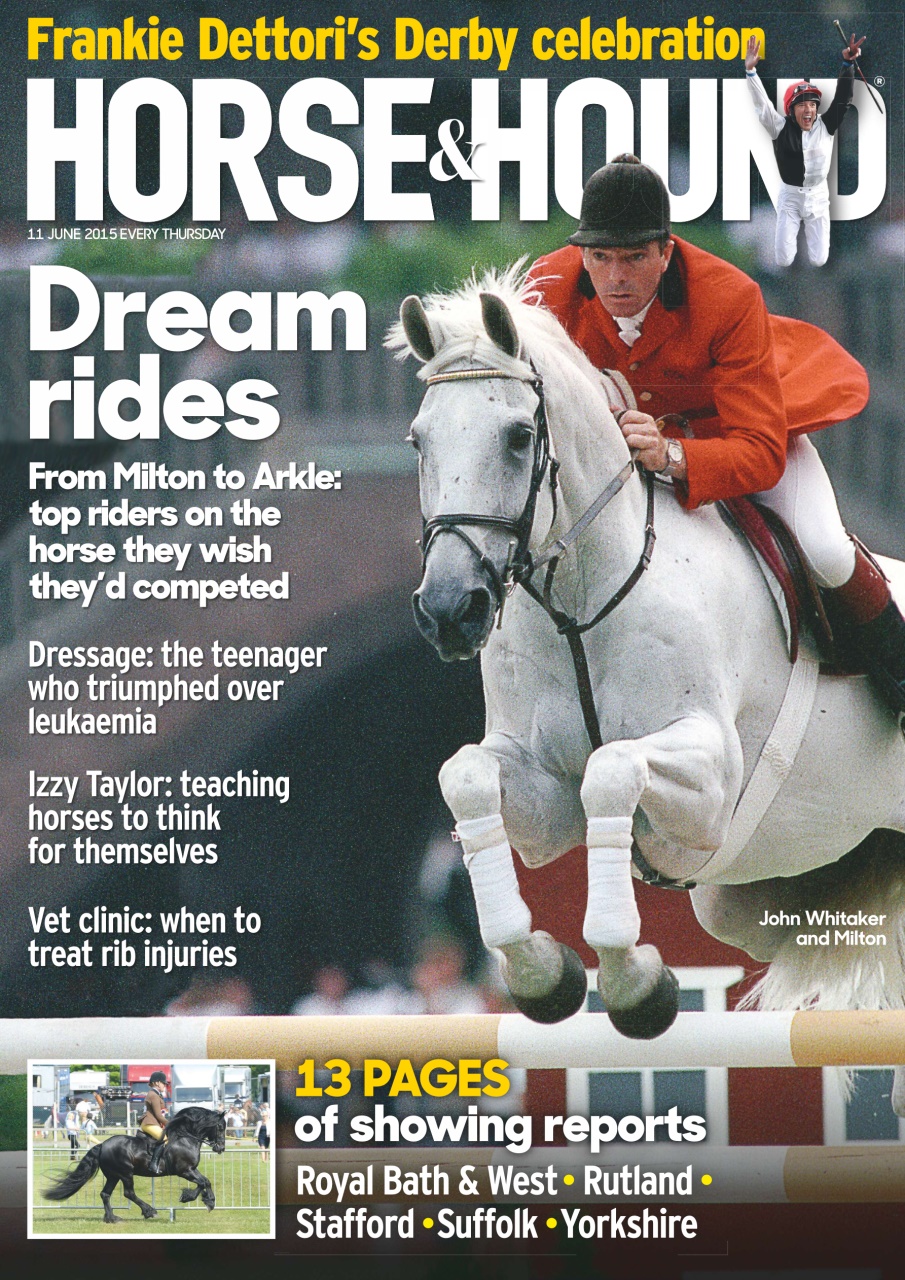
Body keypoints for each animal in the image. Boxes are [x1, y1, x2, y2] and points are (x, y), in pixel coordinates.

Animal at [43, 1106, 227, 1223]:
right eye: (220, 1127)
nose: (221, 1148)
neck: (185, 1137)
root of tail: (102, 1145)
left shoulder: (191, 1170)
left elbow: (205, 1181)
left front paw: (205, 1200)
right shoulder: (185, 1170)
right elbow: (203, 1182)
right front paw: (199, 1199)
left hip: (113, 1176)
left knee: (105, 1194)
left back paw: (112, 1218)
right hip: (125, 1174)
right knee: (129, 1193)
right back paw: (149, 1211)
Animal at [387, 268, 905, 1109]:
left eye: (518, 437)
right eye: (417, 441)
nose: (447, 611)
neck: (577, 601)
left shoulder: (710, 778)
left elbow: (611, 768)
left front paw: (630, 983)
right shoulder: (540, 794)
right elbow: (465, 777)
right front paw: (544, 975)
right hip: (755, 897)